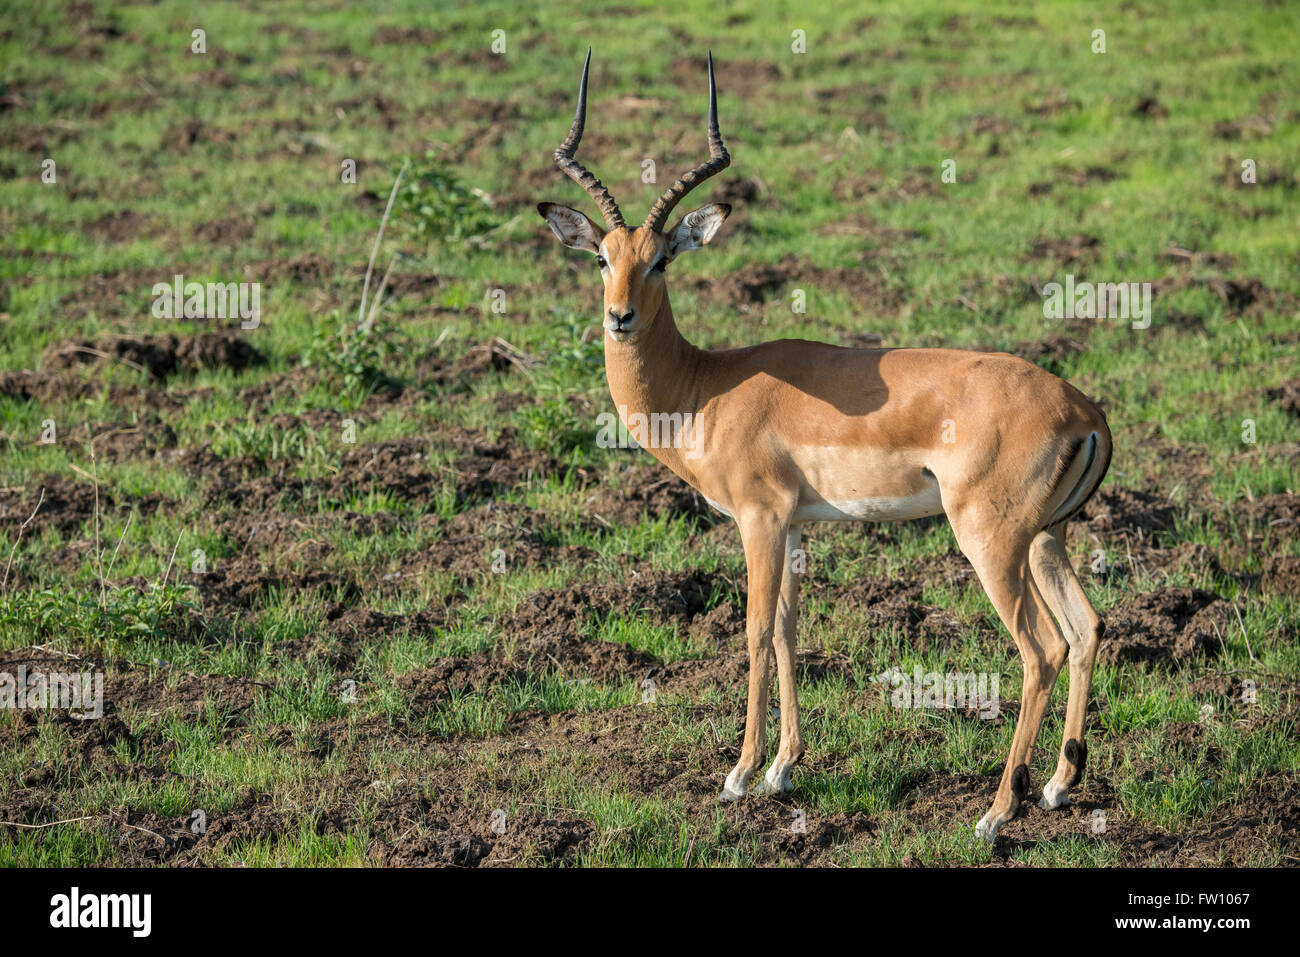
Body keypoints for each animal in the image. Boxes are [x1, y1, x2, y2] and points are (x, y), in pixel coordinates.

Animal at [536, 50, 1112, 841]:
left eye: (661, 261)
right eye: (601, 257)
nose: (619, 317)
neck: (706, 388)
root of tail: (1085, 409)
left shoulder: (759, 518)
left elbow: (753, 631)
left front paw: (739, 775)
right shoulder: (796, 524)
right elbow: (786, 630)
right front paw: (782, 769)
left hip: (990, 540)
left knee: (1042, 649)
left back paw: (997, 812)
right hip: (1047, 536)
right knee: (1087, 628)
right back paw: (1057, 785)